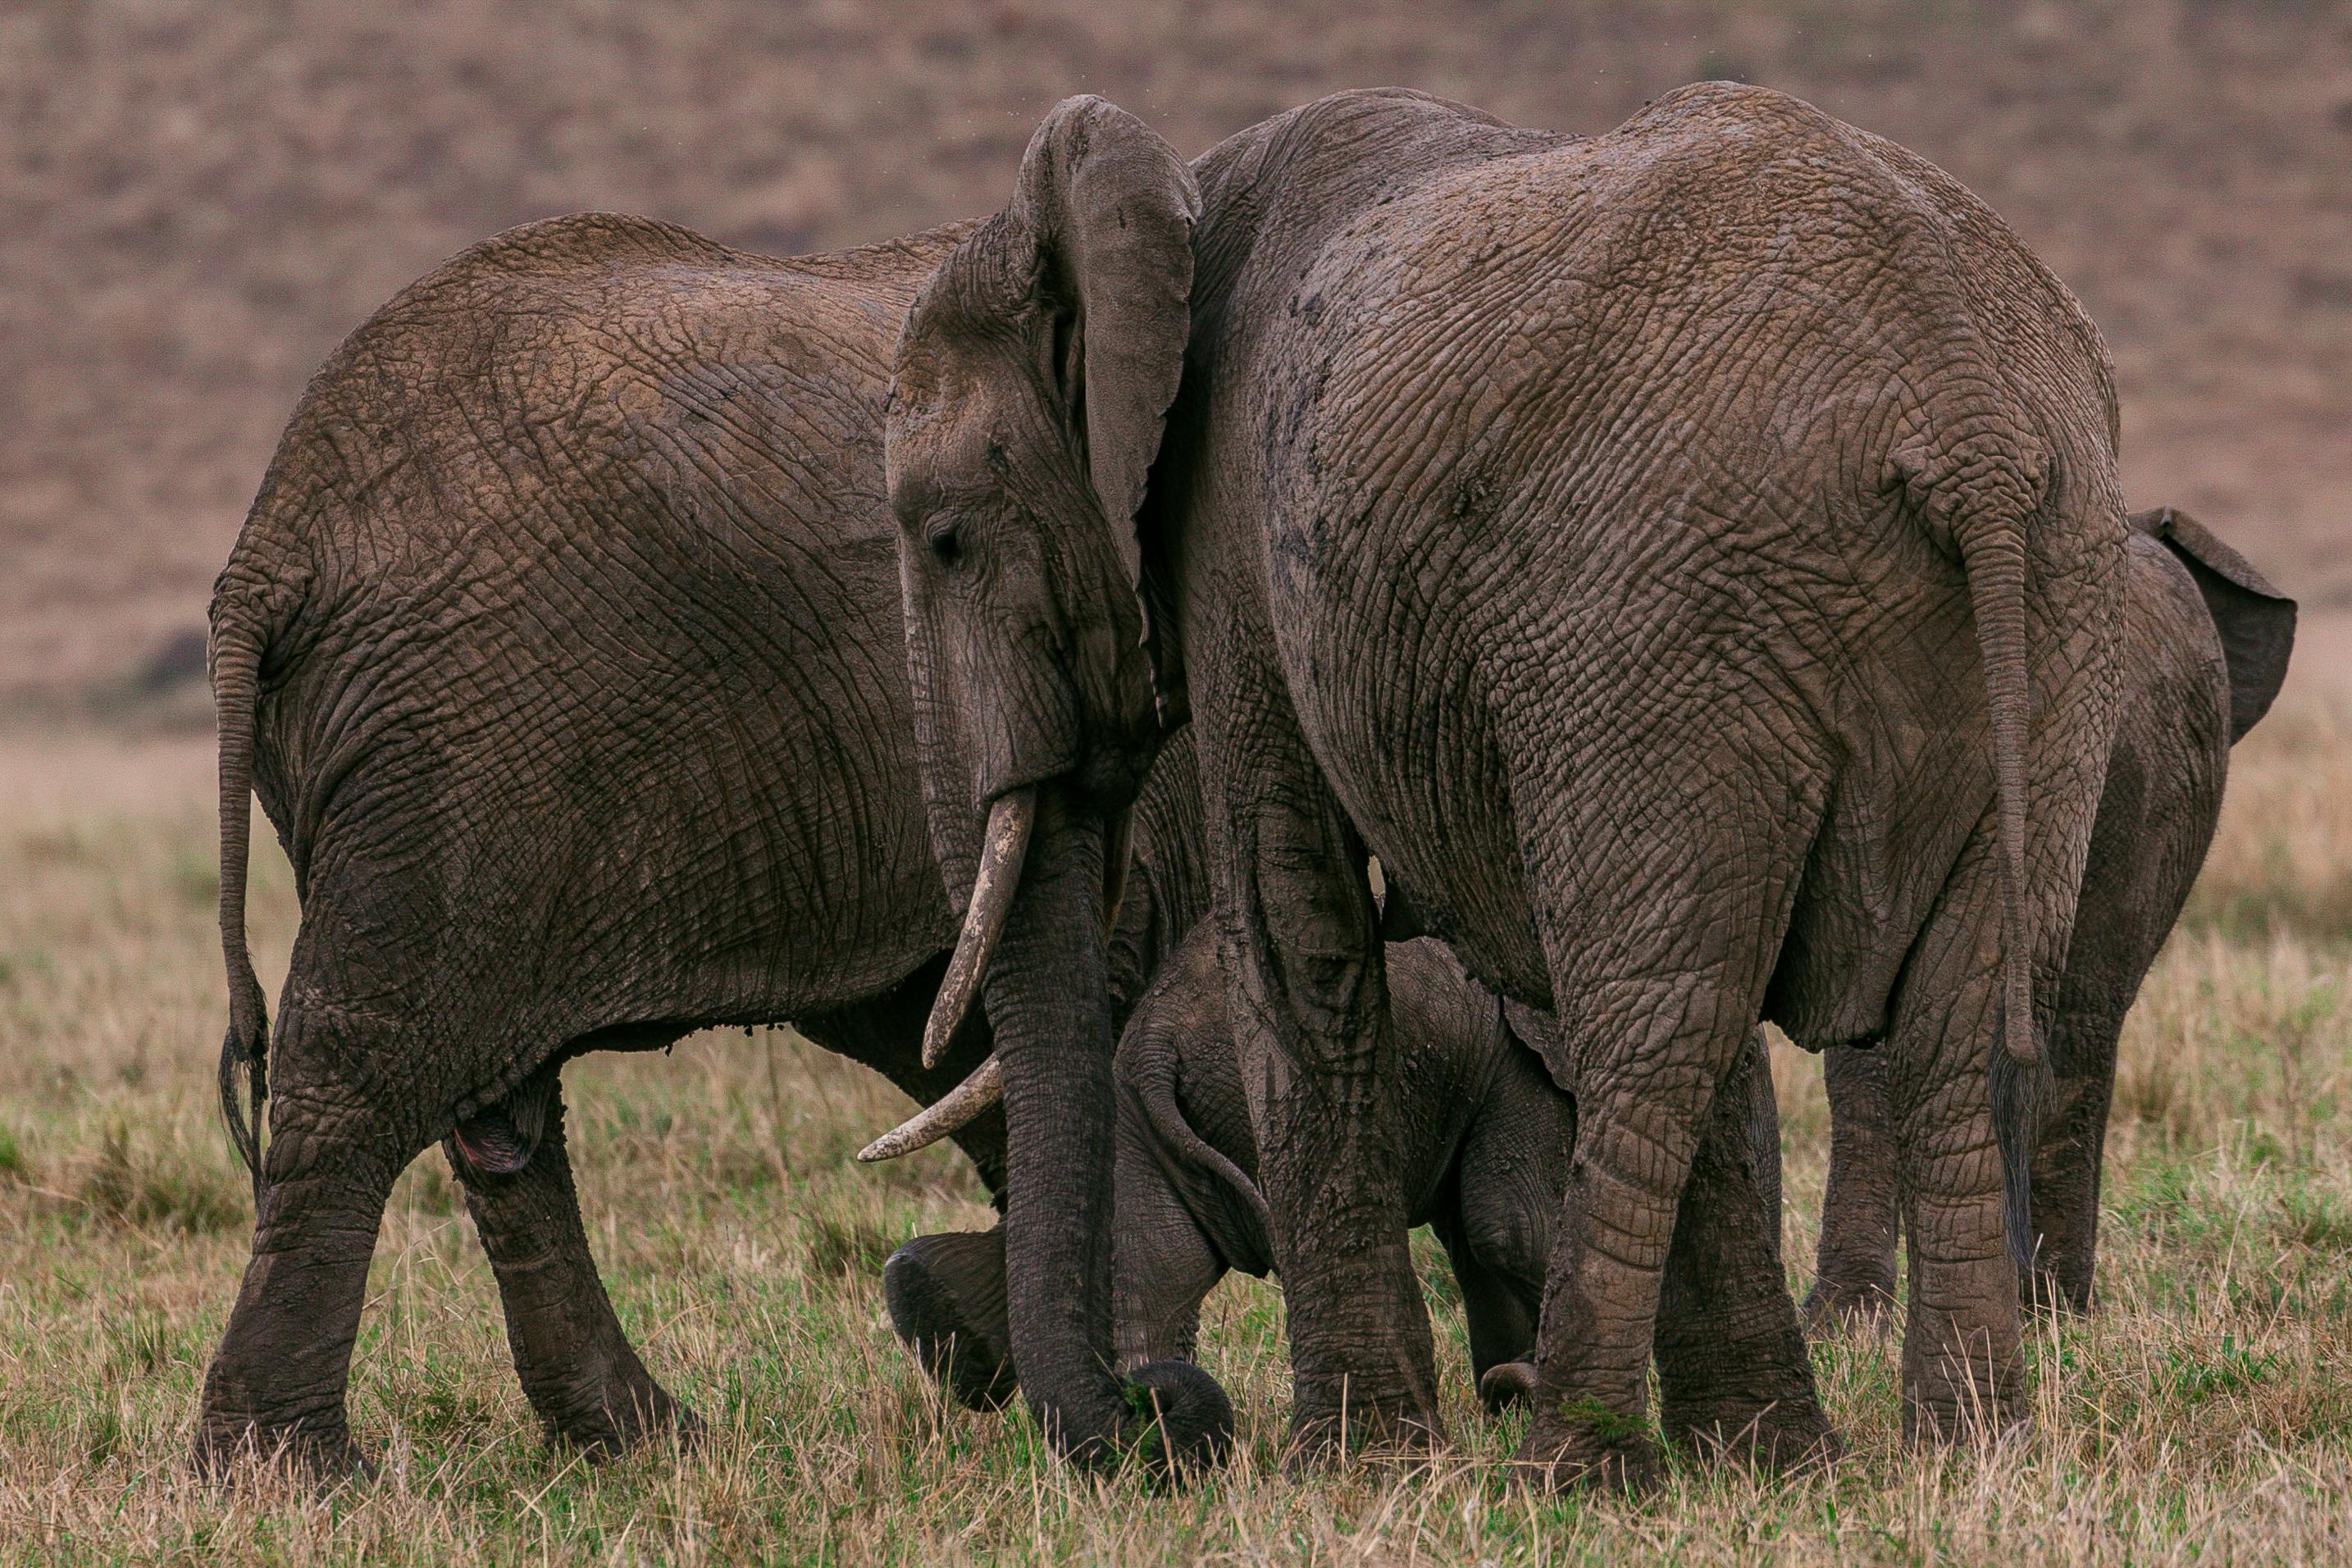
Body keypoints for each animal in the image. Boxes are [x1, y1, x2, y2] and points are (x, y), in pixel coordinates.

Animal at [195, 211, 1227, 1478]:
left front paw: (969, 1331)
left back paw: (646, 1445)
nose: (1163, 1422)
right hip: (456, 743)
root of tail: (268, 551)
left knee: (497, 1116)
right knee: (371, 1070)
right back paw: (293, 1473)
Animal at [871, 82, 2128, 1485]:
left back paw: (1568, 1470)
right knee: (1934, 1030)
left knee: (1655, 1030)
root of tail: (1967, 417)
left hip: (1658, 615)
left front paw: (1359, 1465)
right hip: (2055, 593)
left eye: (944, 538)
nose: (1168, 1418)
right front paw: (1762, 1465)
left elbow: (1295, 919)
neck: (1167, 204)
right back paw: (1968, 1454)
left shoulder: (1240, 545)